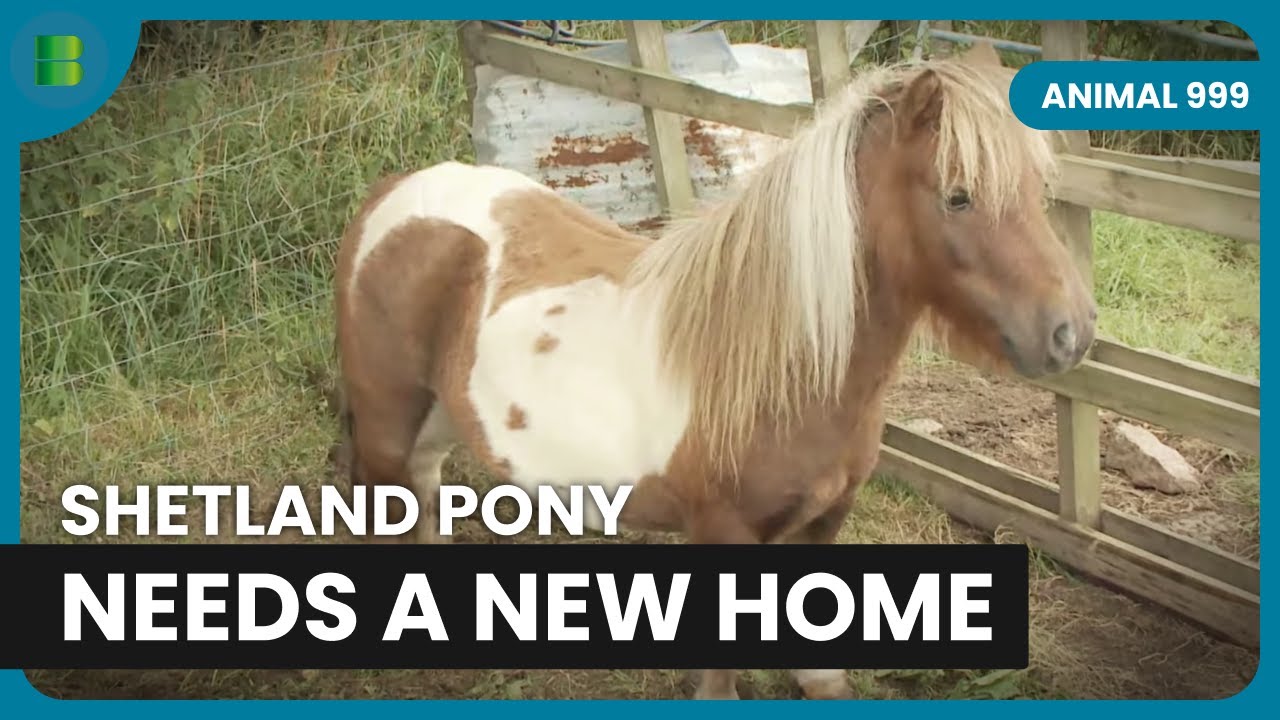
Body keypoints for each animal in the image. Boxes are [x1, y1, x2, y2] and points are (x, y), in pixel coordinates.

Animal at [331, 42, 1097, 700]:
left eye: (1039, 187)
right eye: (958, 195)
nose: (1073, 334)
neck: (784, 371)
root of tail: (395, 193)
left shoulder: (824, 521)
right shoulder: (722, 535)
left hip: (436, 414)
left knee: (425, 488)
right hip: (388, 418)